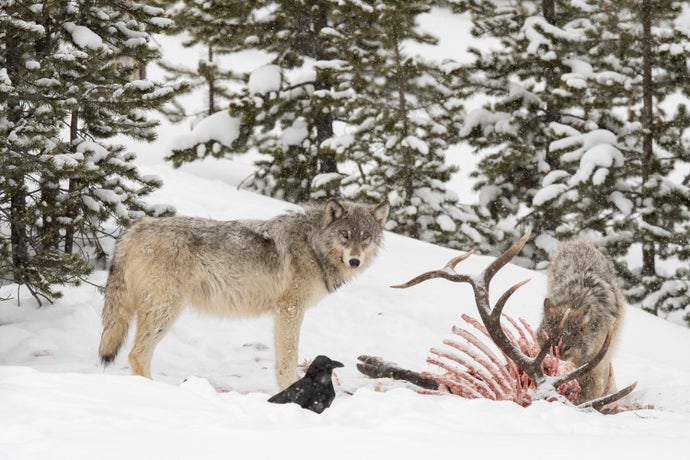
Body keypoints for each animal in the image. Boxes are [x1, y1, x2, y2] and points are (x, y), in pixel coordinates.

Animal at [99, 198, 389, 389]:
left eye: (365, 237)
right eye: (345, 235)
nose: (355, 261)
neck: (312, 246)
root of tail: (134, 229)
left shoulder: (283, 312)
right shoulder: (290, 309)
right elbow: (288, 358)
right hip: (166, 311)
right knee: (137, 354)